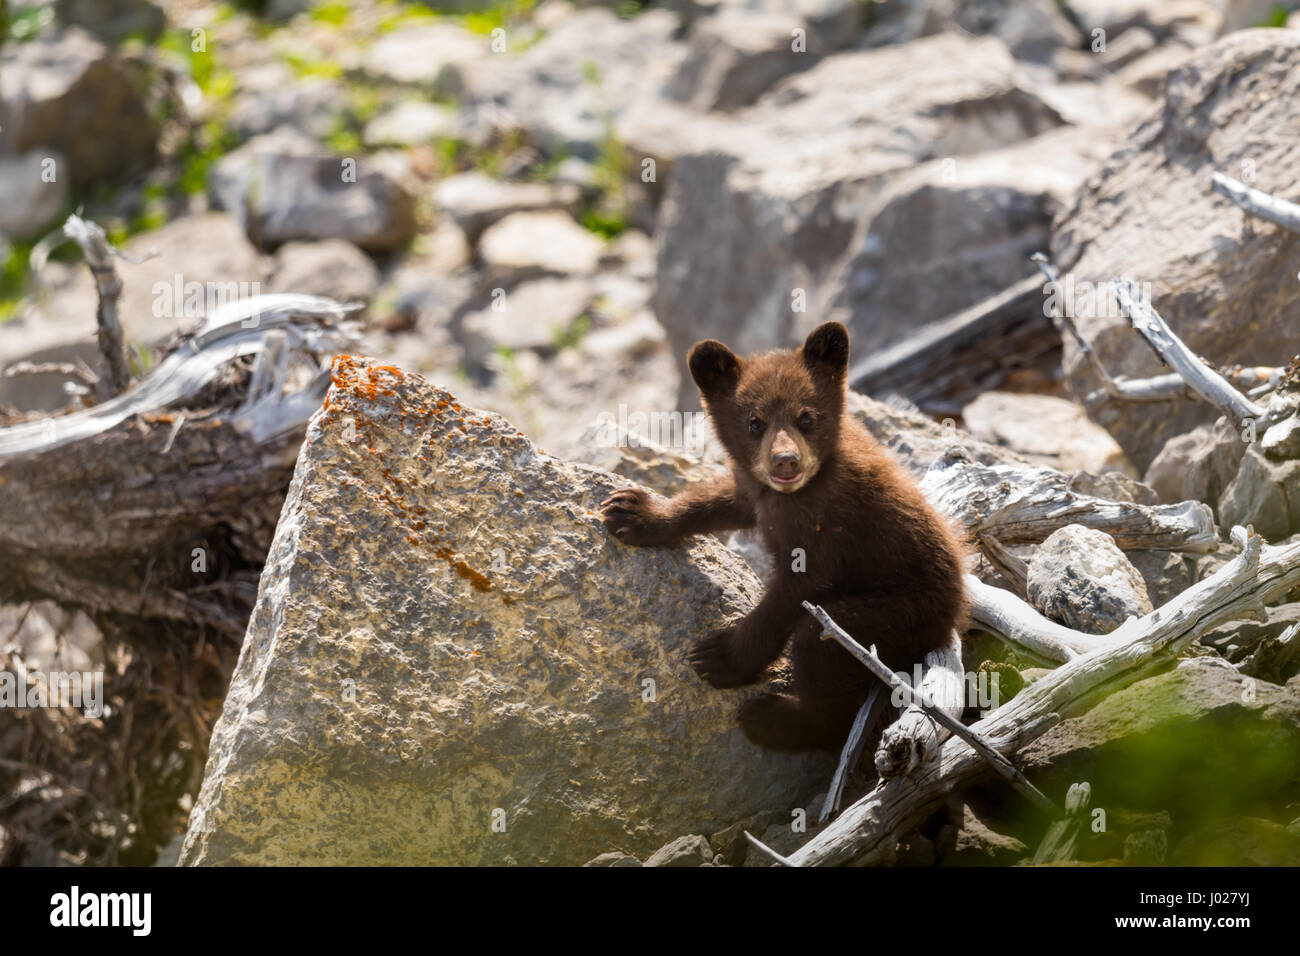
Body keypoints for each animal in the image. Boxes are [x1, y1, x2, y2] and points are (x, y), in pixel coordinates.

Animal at [600, 320, 967, 753]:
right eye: (754, 422)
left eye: (806, 417)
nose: (785, 461)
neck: (802, 489)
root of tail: (957, 608)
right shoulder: (757, 490)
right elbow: (722, 499)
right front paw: (635, 511)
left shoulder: (827, 528)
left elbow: (791, 595)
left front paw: (721, 656)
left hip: (905, 611)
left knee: (817, 643)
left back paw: (772, 718)